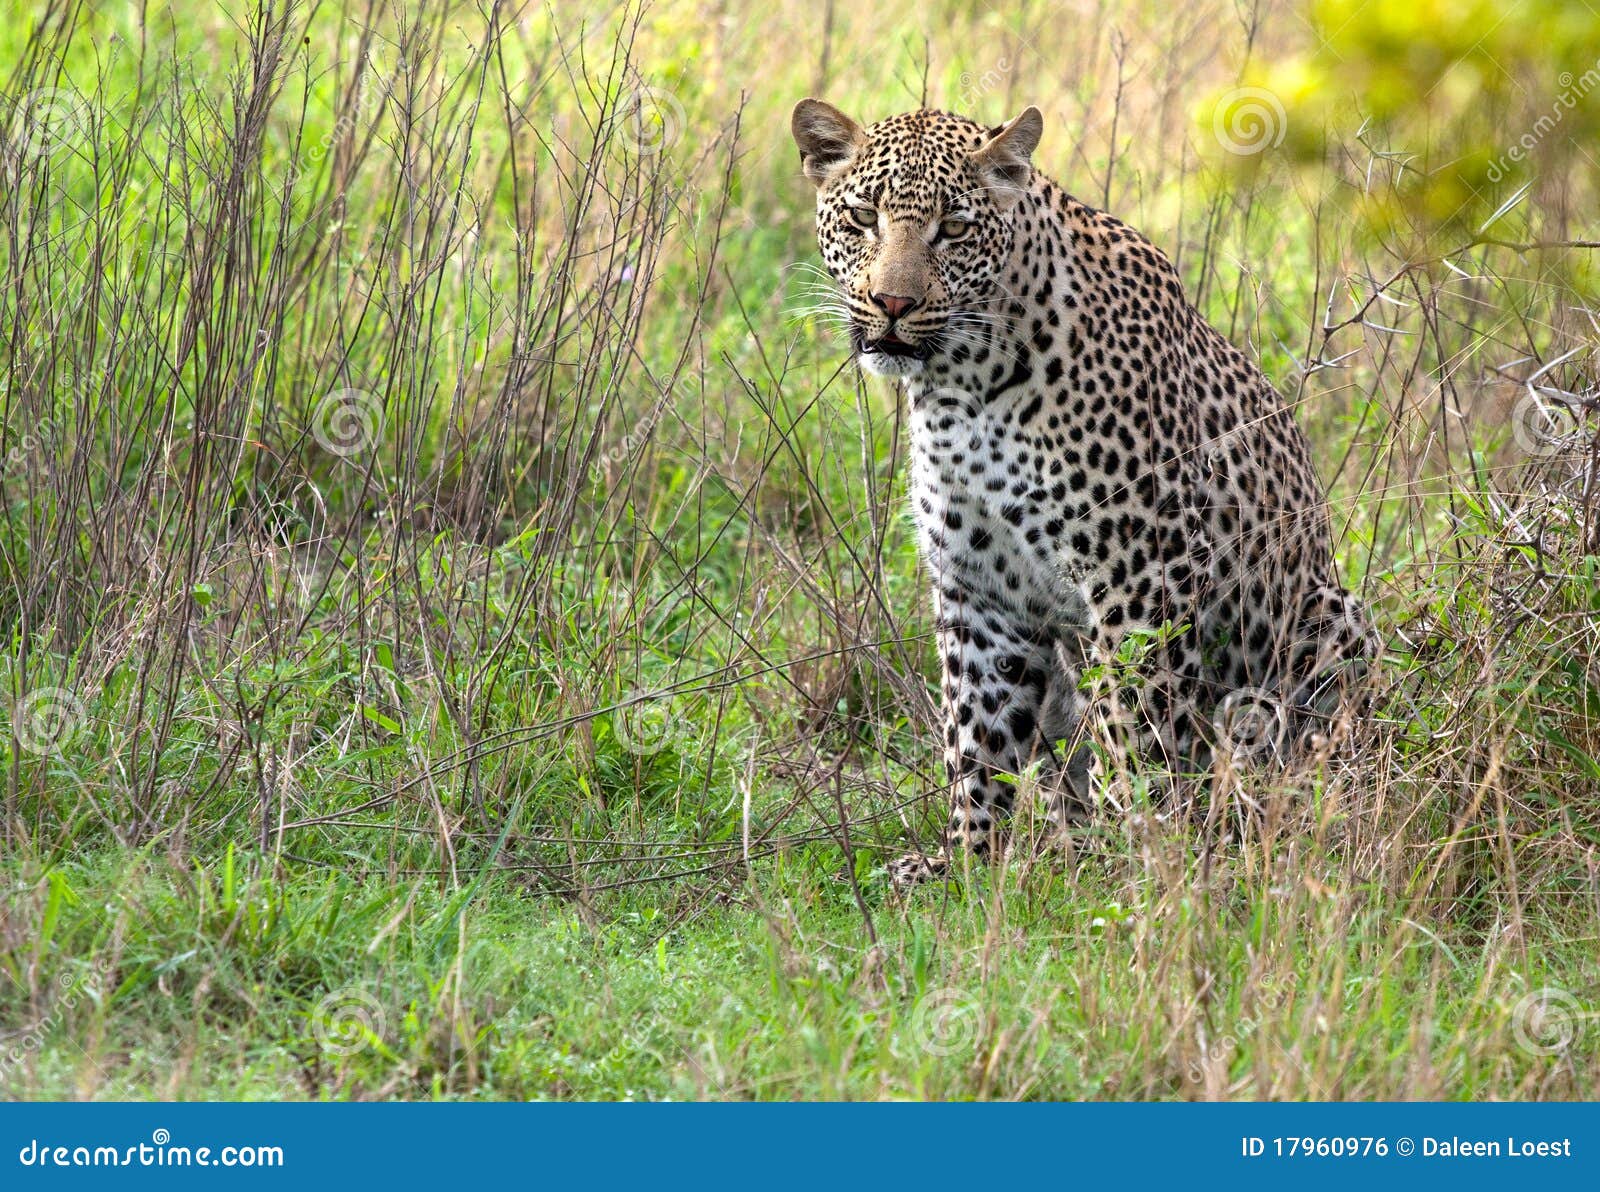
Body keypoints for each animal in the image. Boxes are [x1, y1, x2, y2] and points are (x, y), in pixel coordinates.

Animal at [790, 99, 1374, 883]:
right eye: (862, 217)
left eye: (954, 228)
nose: (892, 302)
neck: (963, 386)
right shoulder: (979, 591)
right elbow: (974, 735)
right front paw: (966, 863)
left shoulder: (1141, 573)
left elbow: (1135, 719)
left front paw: (1145, 851)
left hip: (1333, 619)